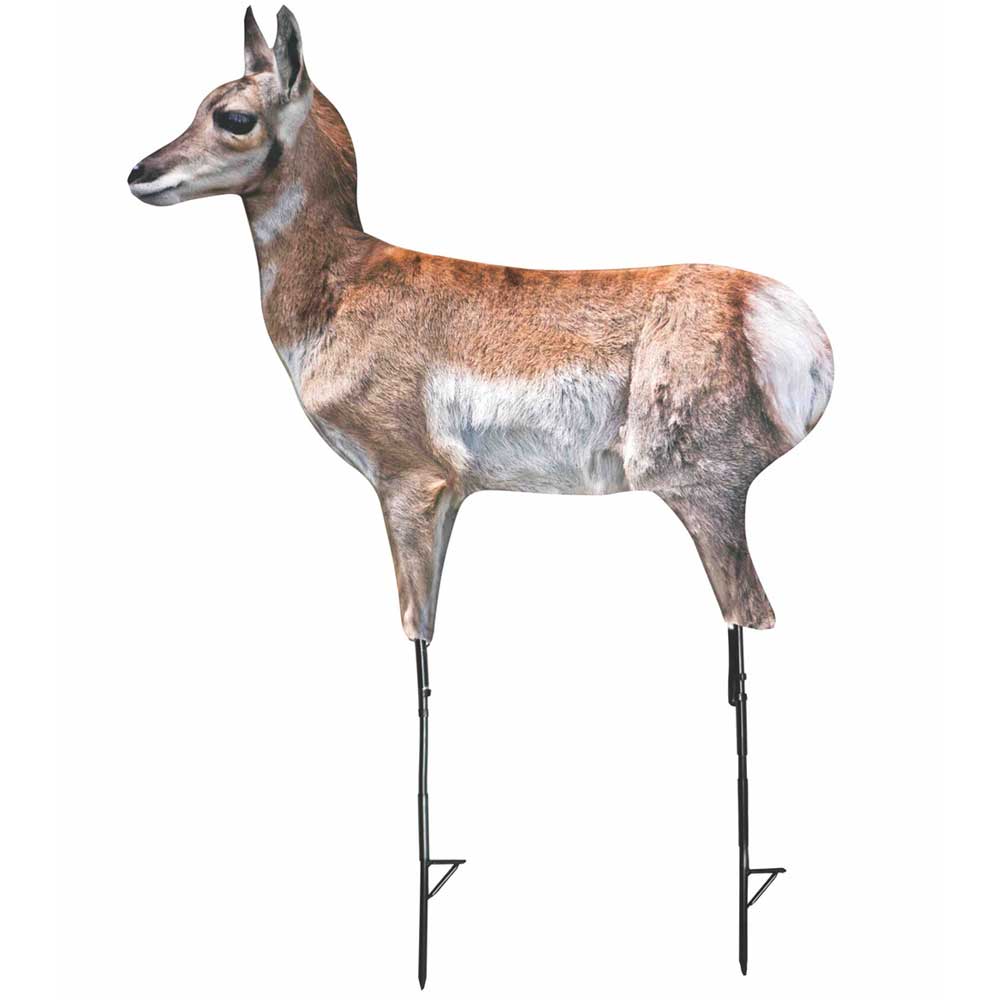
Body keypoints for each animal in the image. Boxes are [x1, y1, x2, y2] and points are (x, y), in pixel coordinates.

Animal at [129, 7, 833, 986]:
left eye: (233, 114)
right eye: (199, 99)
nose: (140, 173)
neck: (350, 282)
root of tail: (787, 318)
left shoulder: (405, 484)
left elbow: (414, 636)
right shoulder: (451, 497)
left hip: (702, 497)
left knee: (750, 621)